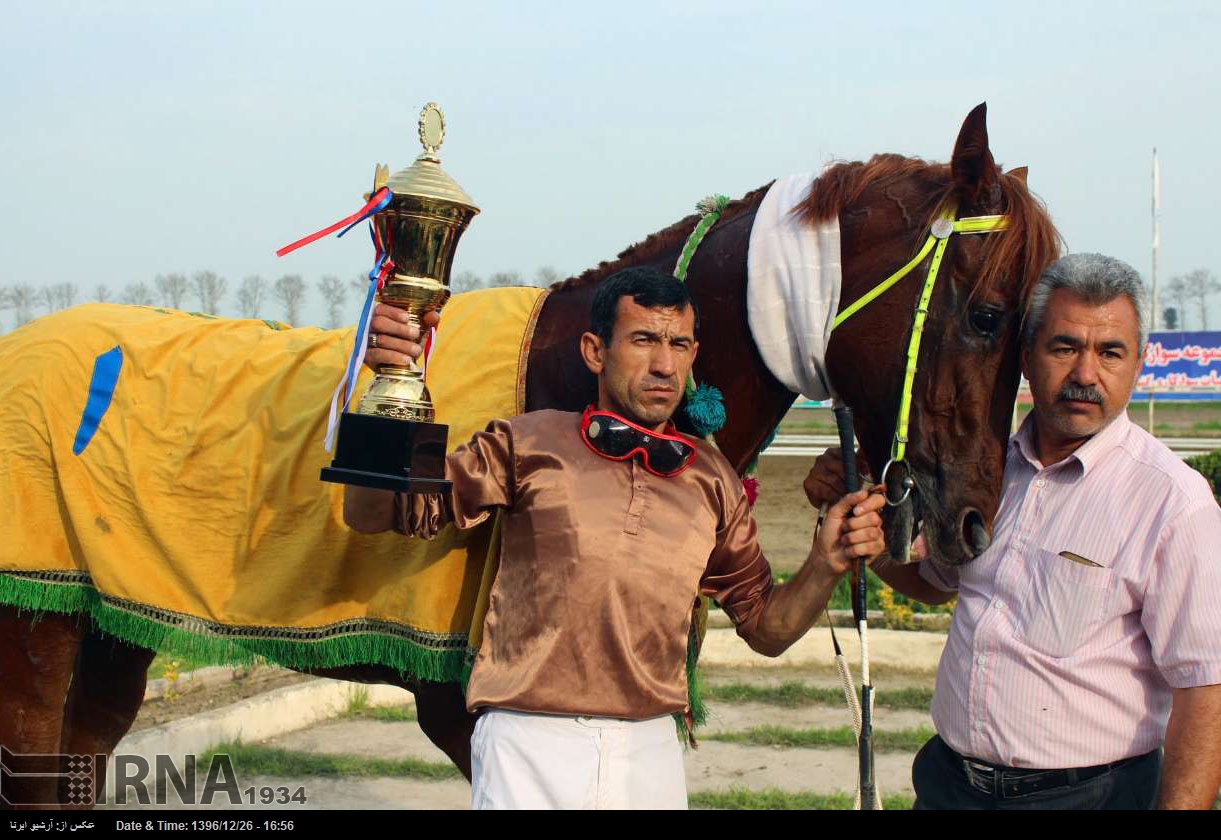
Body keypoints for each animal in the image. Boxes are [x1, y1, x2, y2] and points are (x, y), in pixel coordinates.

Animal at [0, 102, 1060, 808]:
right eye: (986, 314)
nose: (973, 524)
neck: (594, 396)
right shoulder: (463, 707)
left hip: (107, 624)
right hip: (35, 623)